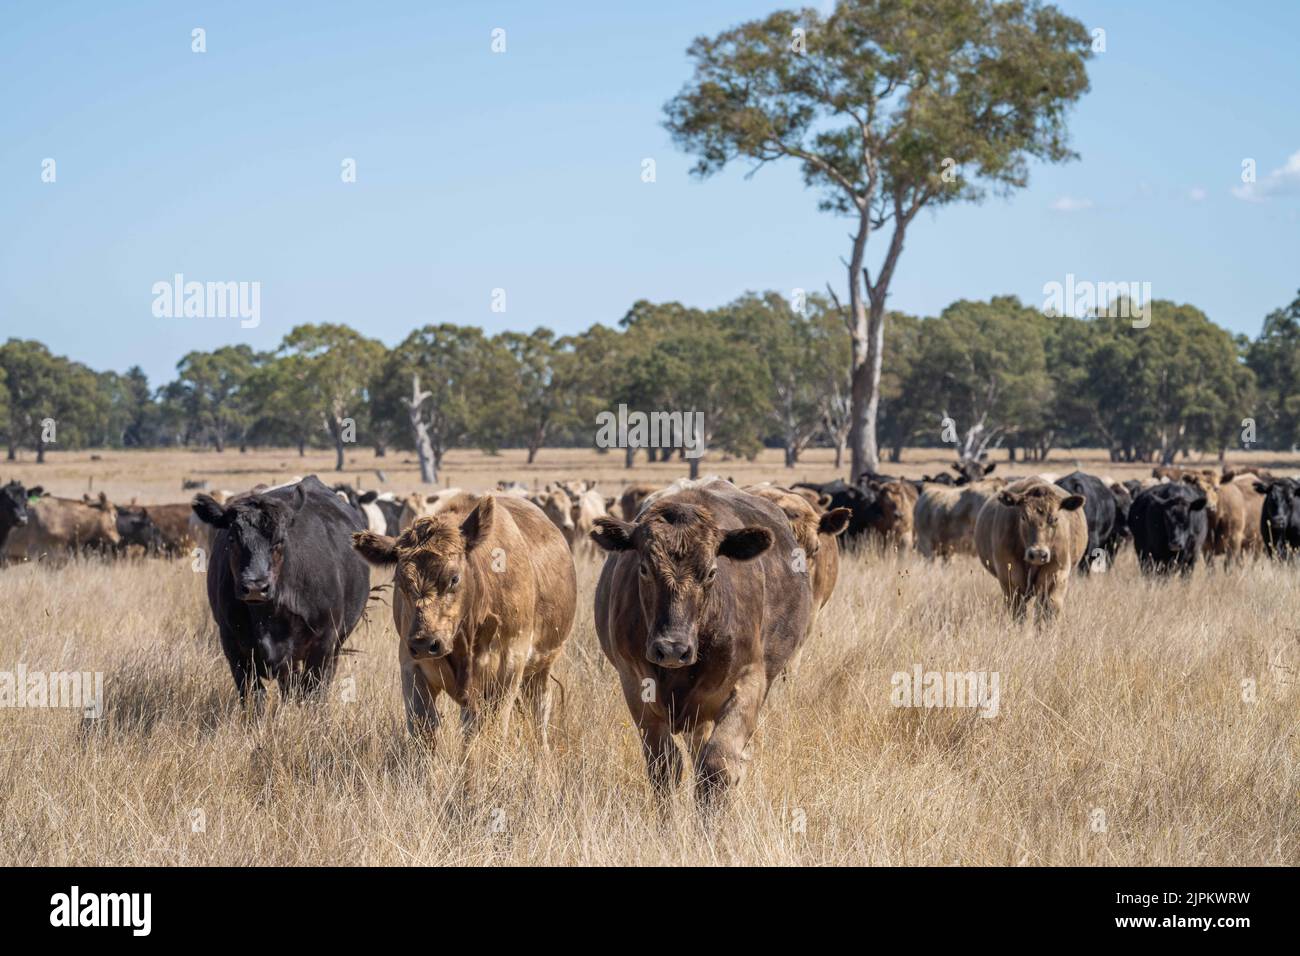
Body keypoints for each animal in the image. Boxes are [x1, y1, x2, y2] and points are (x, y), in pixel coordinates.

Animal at [192, 476, 371, 701]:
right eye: (232, 539)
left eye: (279, 541)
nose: (255, 587)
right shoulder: (232, 644)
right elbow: (253, 695)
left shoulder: (324, 642)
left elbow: (311, 693)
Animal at [351, 493, 577, 748]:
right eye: (400, 582)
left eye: (454, 578)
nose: (425, 642)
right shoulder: (412, 666)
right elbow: (424, 730)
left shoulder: (509, 668)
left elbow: (495, 730)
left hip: (541, 668)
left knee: (538, 711)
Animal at [591, 478, 813, 808]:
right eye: (644, 568)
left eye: (711, 572)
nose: (672, 648)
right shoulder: (634, 683)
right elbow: (664, 766)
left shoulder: (750, 680)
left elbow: (718, 765)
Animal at [975, 477, 1087, 620]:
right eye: (1023, 517)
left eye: (1055, 518)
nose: (1038, 554)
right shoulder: (1009, 578)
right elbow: (1018, 612)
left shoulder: (1056, 575)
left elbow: (1048, 611)